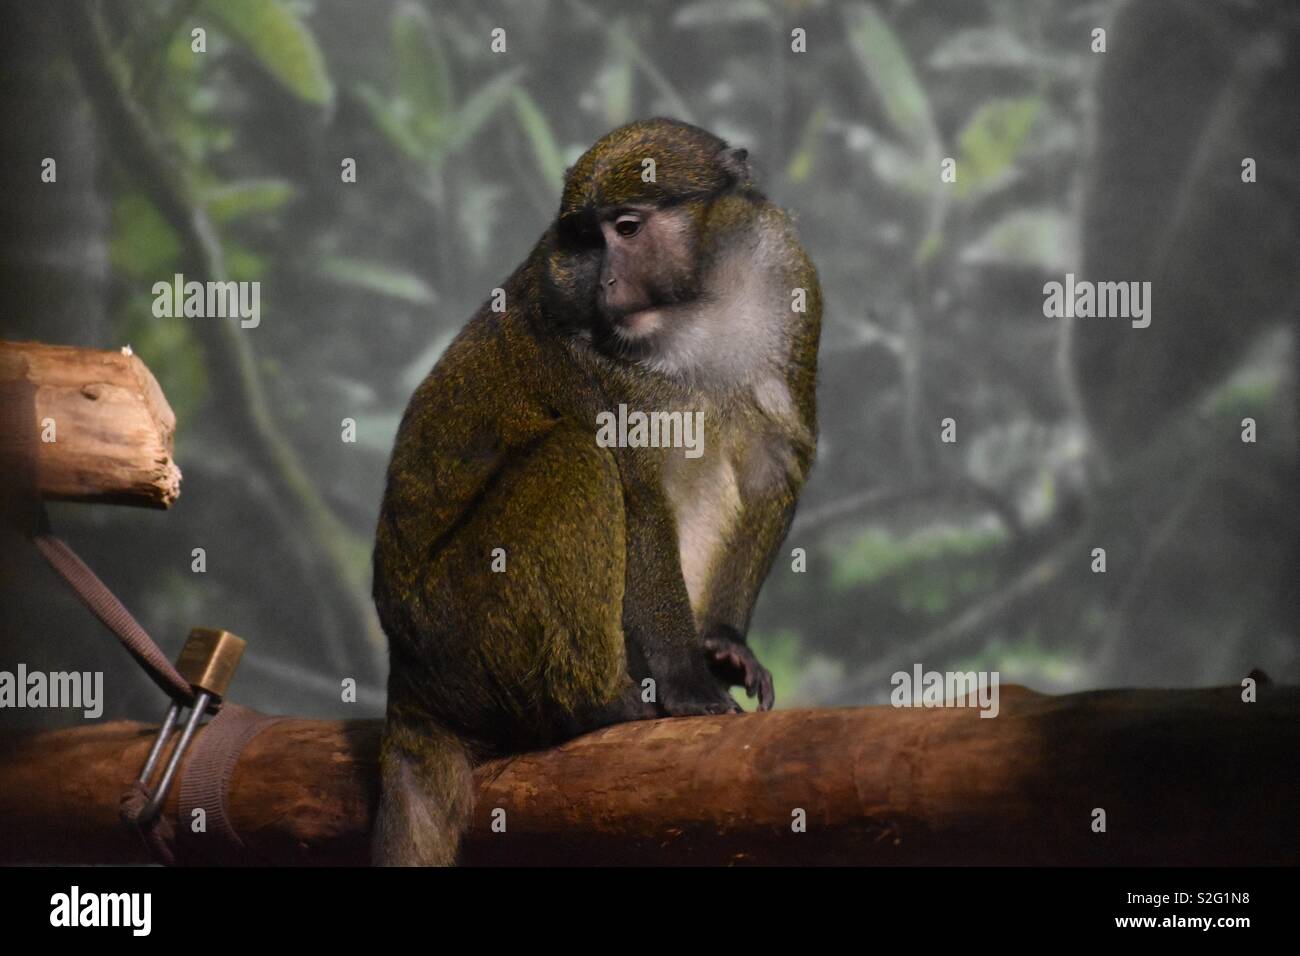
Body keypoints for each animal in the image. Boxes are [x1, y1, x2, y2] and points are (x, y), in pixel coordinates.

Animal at [371, 118, 821, 865]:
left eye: (628, 228)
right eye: (587, 239)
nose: (604, 281)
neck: (701, 304)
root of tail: (405, 677)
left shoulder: (790, 275)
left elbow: (772, 463)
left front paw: (725, 643)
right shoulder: (576, 345)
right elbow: (636, 493)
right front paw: (689, 683)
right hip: (454, 631)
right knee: (573, 458)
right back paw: (598, 705)